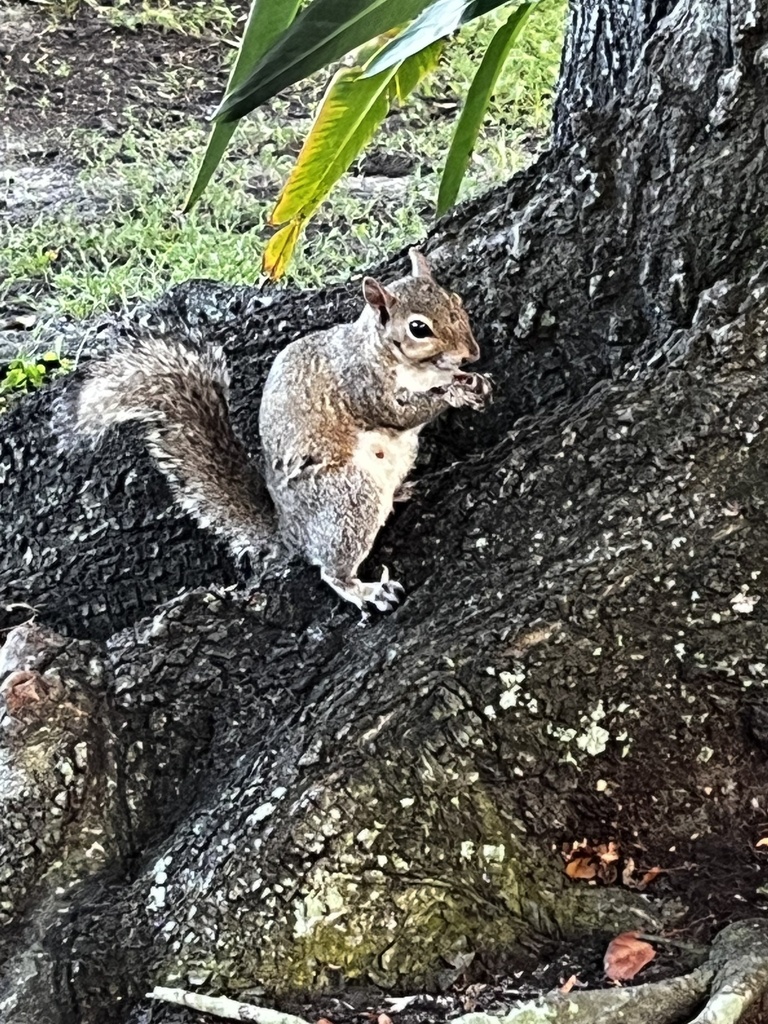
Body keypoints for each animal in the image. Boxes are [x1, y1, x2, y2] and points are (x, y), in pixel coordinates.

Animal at [72, 249, 492, 613]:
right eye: (419, 329)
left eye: (456, 301)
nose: (472, 353)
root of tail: (291, 530)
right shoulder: (362, 386)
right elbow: (403, 412)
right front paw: (453, 392)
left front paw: (471, 380)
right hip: (348, 498)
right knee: (332, 570)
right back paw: (365, 590)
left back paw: (401, 491)